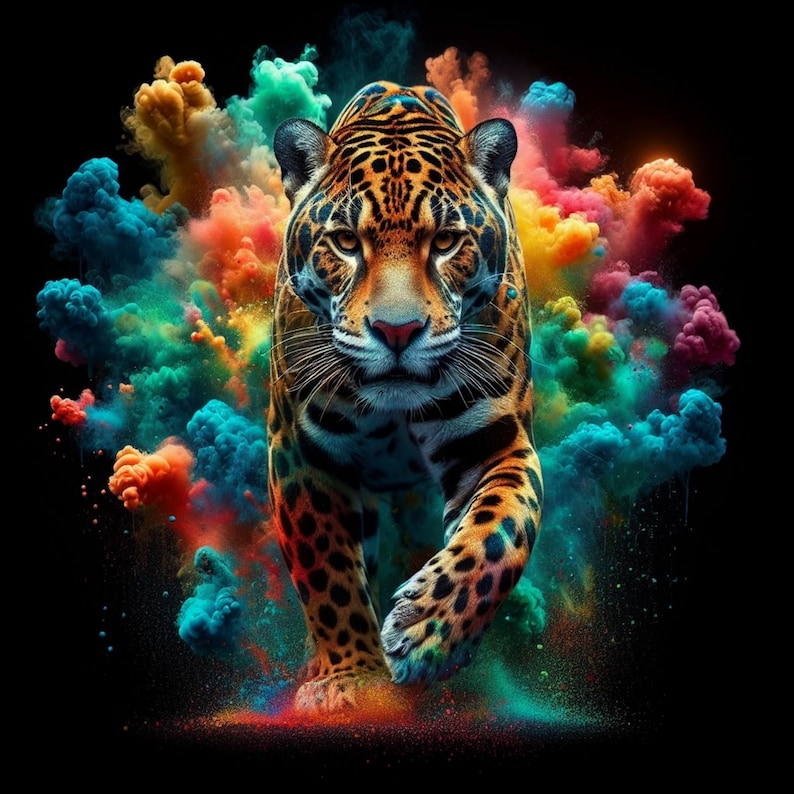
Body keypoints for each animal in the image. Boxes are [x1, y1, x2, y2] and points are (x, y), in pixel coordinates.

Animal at [267, 81, 543, 714]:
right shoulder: (302, 455)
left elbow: (500, 536)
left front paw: (426, 635)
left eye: (445, 242)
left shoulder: (497, 442)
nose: (397, 331)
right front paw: (353, 681)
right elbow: (328, 579)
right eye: (346, 242)